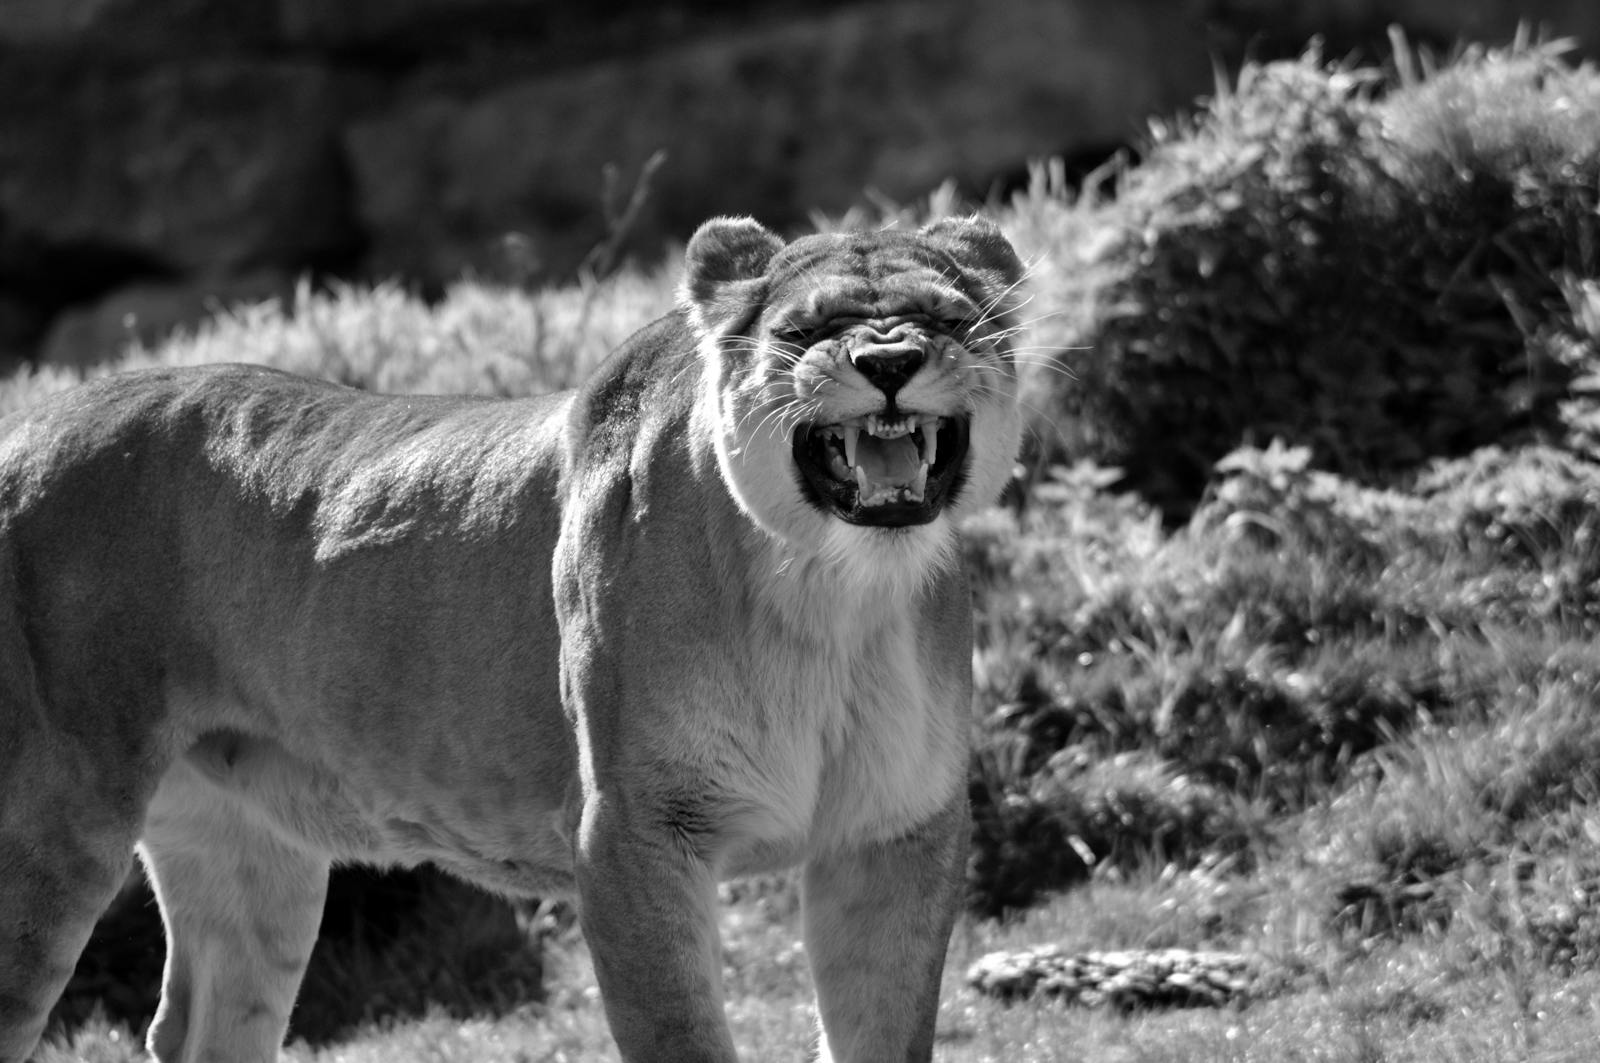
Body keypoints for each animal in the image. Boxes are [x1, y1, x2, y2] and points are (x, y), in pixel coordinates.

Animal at [0, 215, 1025, 1063]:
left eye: (949, 319)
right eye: (806, 331)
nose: (889, 361)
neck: (834, 598)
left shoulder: (894, 830)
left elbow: (886, 1028)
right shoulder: (634, 833)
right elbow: (684, 1036)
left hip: (245, 840)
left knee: (194, 1027)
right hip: (51, 819)